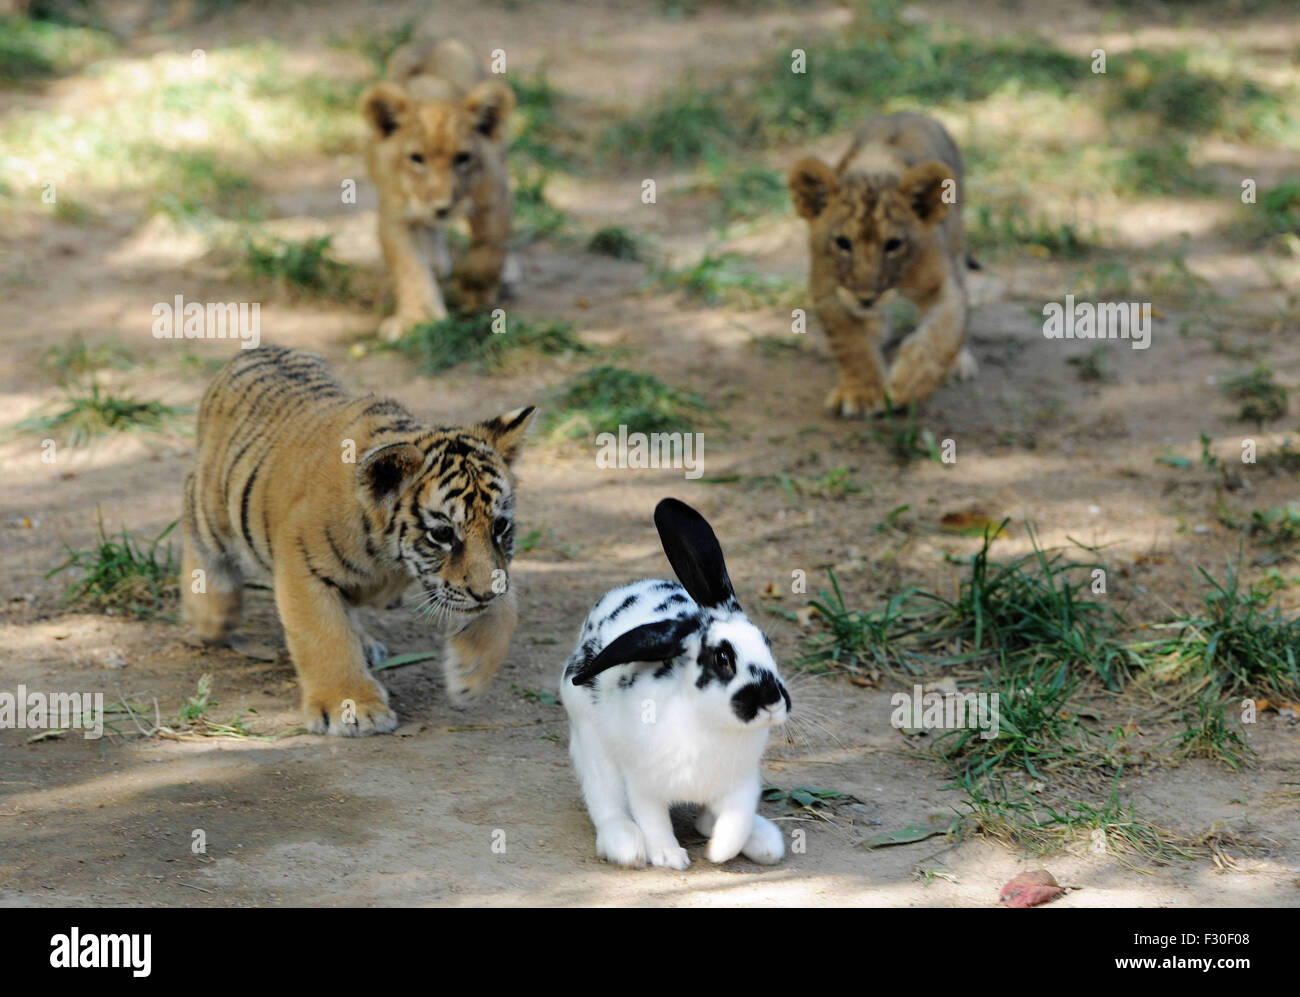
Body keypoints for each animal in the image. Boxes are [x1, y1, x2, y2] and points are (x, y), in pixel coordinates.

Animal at [181, 345, 536, 736]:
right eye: (442, 534)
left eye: (500, 526)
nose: (484, 594)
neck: (390, 560)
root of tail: (260, 348)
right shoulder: (302, 570)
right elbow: (324, 635)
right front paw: (351, 707)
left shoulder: (494, 567)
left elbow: (504, 605)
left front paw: (470, 673)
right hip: (212, 504)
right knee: (197, 531)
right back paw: (212, 616)